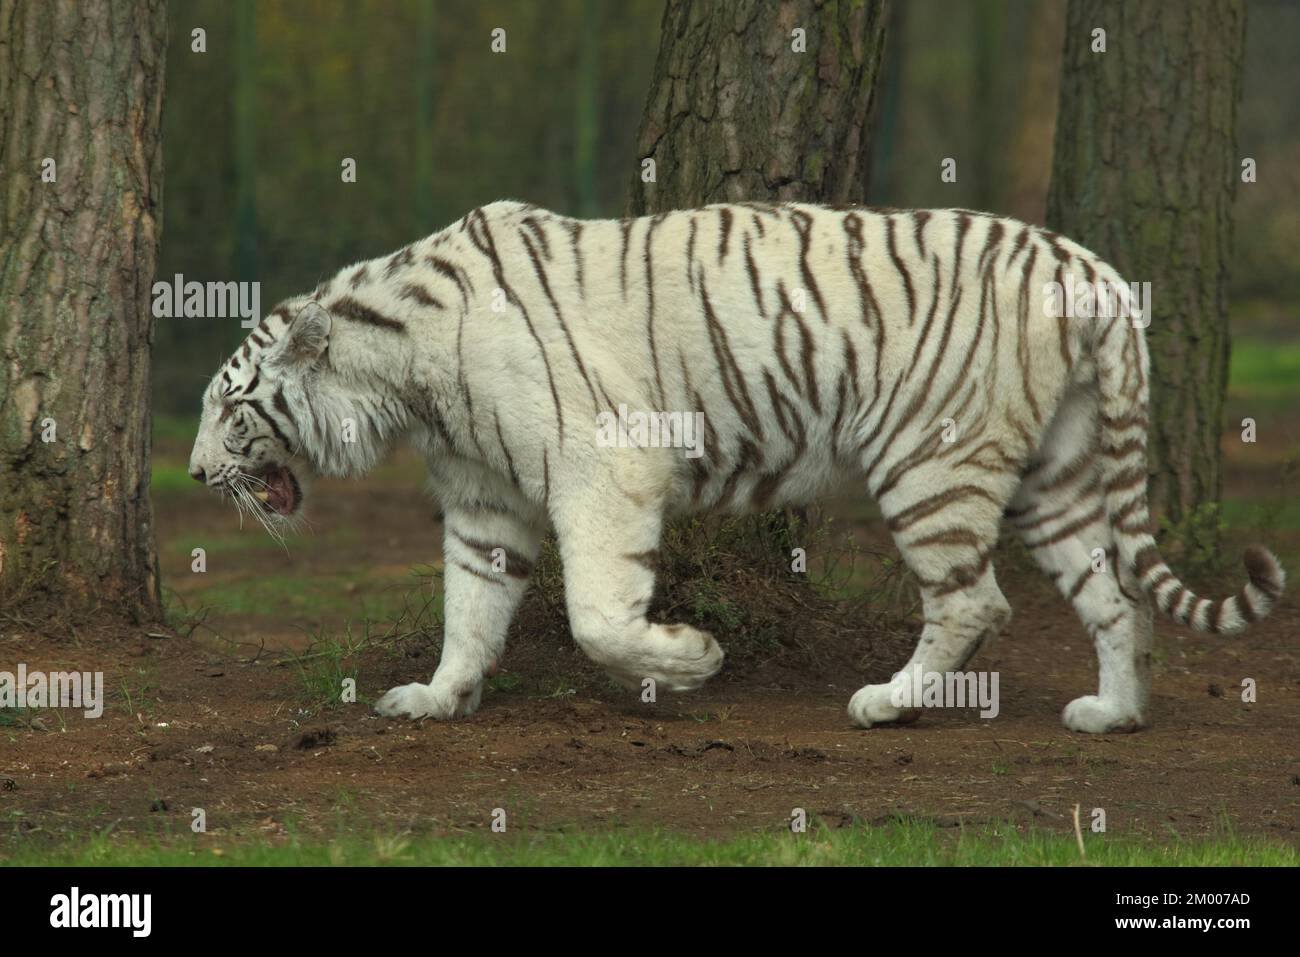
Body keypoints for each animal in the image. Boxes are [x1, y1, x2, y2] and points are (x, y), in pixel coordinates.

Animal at [187, 200, 1285, 733]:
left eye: (229, 407)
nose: (195, 476)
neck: (401, 376)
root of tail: (1087, 266)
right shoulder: (484, 502)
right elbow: (470, 608)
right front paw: (439, 698)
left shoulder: (603, 464)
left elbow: (595, 616)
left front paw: (692, 660)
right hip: (1053, 476)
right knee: (1114, 597)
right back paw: (1113, 715)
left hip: (930, 456)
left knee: (977, 601)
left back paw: (889, 703)